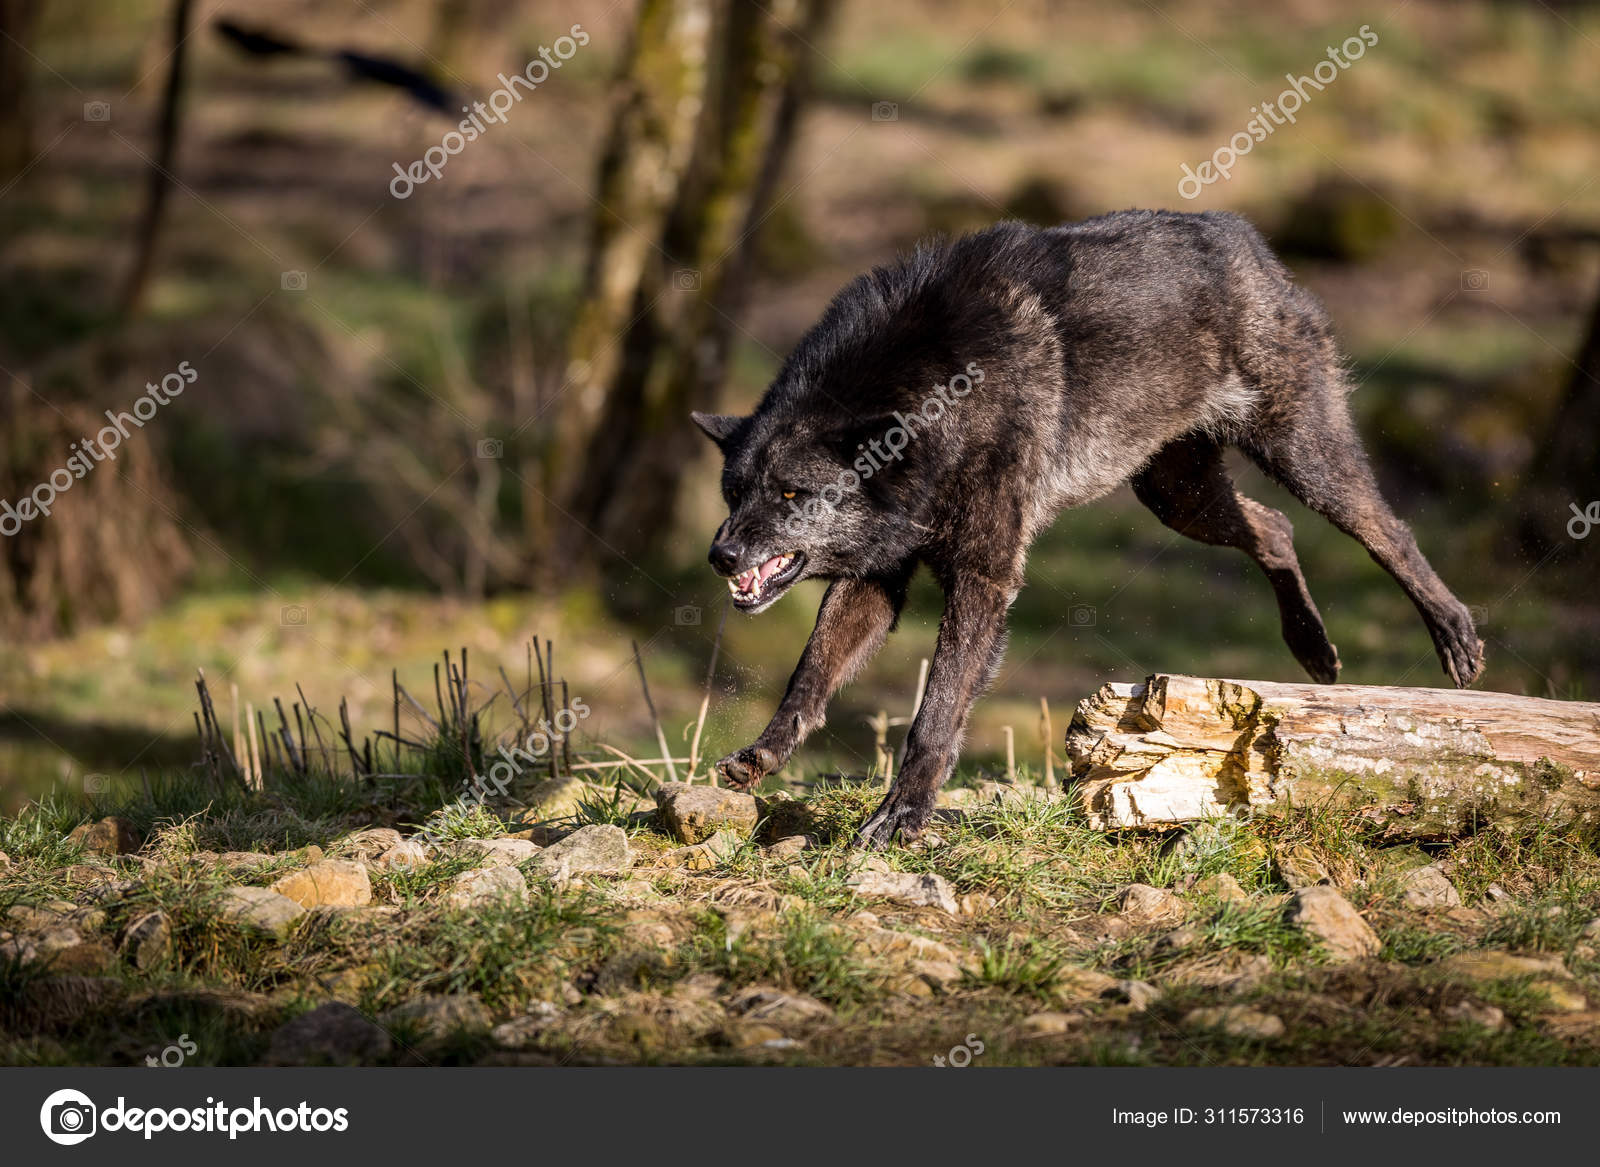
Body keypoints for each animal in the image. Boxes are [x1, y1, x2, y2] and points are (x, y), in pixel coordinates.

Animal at [692, 210, 1484, 848]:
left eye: (791, 493)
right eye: (734, 491)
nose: (720, 554)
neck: (936, 400)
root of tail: (1246, 239)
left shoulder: (983, 579)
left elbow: (935, 714)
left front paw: (902, 817)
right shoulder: (874, 578)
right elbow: (810, 674)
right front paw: (762, 755)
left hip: (1300, 457)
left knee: (1386, 528)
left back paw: (1454, 637)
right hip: (1178, 497)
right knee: (1275, 528)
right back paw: (1312, 648)